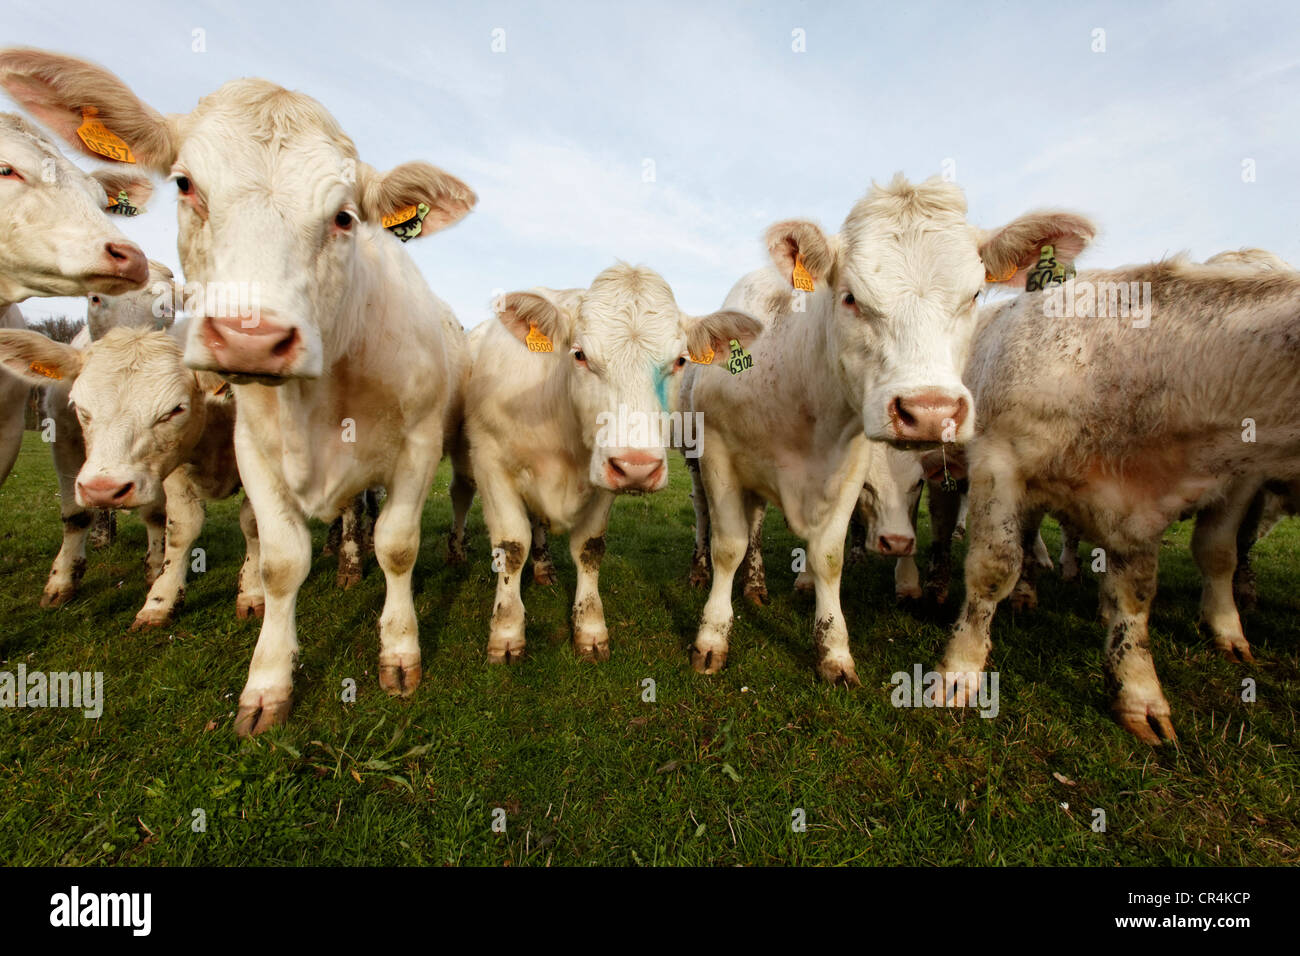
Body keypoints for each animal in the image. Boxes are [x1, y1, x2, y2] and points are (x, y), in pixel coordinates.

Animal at [0, 324, 259, 627]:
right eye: (80, 407)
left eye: (175, 410)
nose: (102, 488)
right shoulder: (175, 470)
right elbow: (181, 530)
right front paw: (161, 600)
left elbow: (252, 524)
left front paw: (252, 592)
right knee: (83, 517)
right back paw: (65, 581)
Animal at [466, 264, 760, 664]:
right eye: (579, 355)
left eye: (681, 361)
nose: (638, 467)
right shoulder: (490, 464)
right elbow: (512, 547)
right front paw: (507, 633)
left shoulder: (604, 478)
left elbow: (589, 547)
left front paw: (590, 629)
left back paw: (544, 568)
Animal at [684, 174, 1095, 684]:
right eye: (851, 298)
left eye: (974, 296)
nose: (931, 411)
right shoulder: (719, 457)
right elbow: (728, 546)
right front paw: (711, 636)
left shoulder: (848, 467)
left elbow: (828, 556)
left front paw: (834, 650)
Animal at [937, 255, 1300, 743]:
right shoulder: (999, 462)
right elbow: (992, 570)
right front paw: (960, 668)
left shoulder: (1155, 503)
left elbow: (1141, 593)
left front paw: (1139, 690)